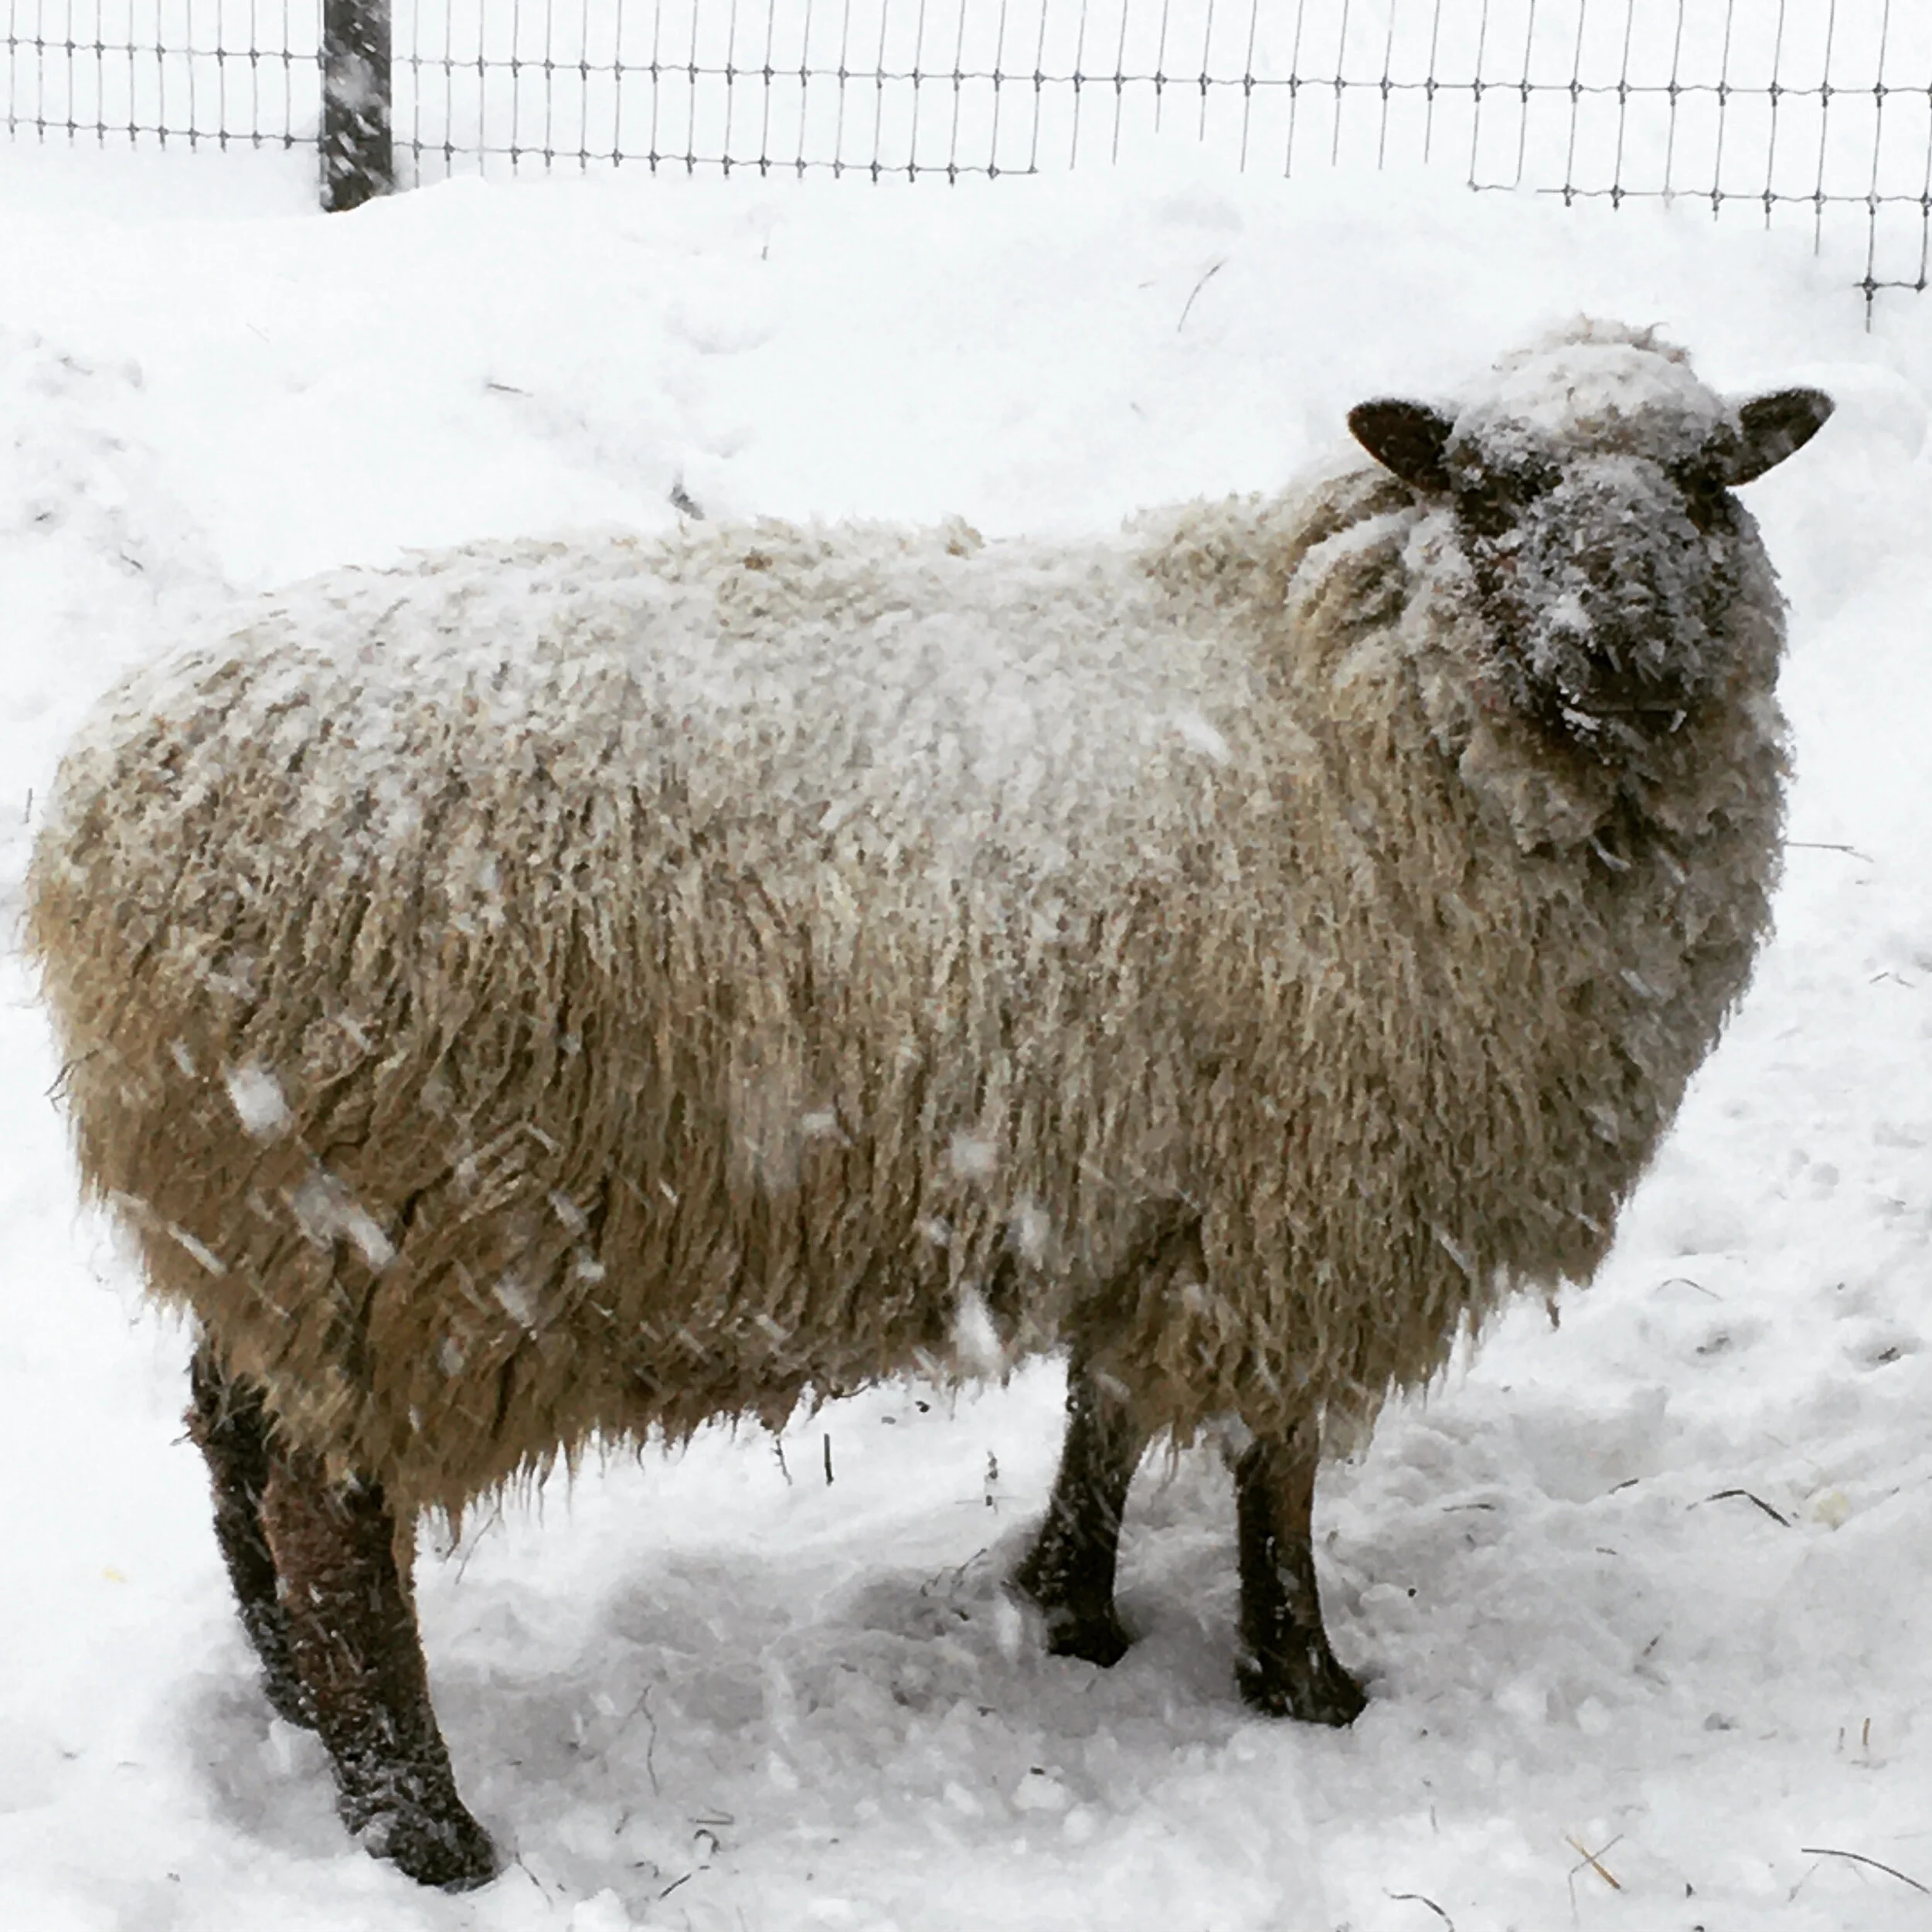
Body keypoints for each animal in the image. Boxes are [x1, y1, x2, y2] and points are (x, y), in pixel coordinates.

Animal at [27, 321, 1831, 1889]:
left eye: (1708, 483)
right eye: (1491, 491)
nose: (1631, 661)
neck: (1370, 703)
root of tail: (105, 800)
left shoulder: (1158, 1187)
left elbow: (1109, 1406)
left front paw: (1073, 1610)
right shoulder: (1306, 1197)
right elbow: (1276, 1462)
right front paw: (1302, 1675)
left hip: (269, 1227)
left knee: (233, 1441)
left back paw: (293, 1704)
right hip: (390, 1233)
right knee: (327, 1515)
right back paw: (421, 1825)